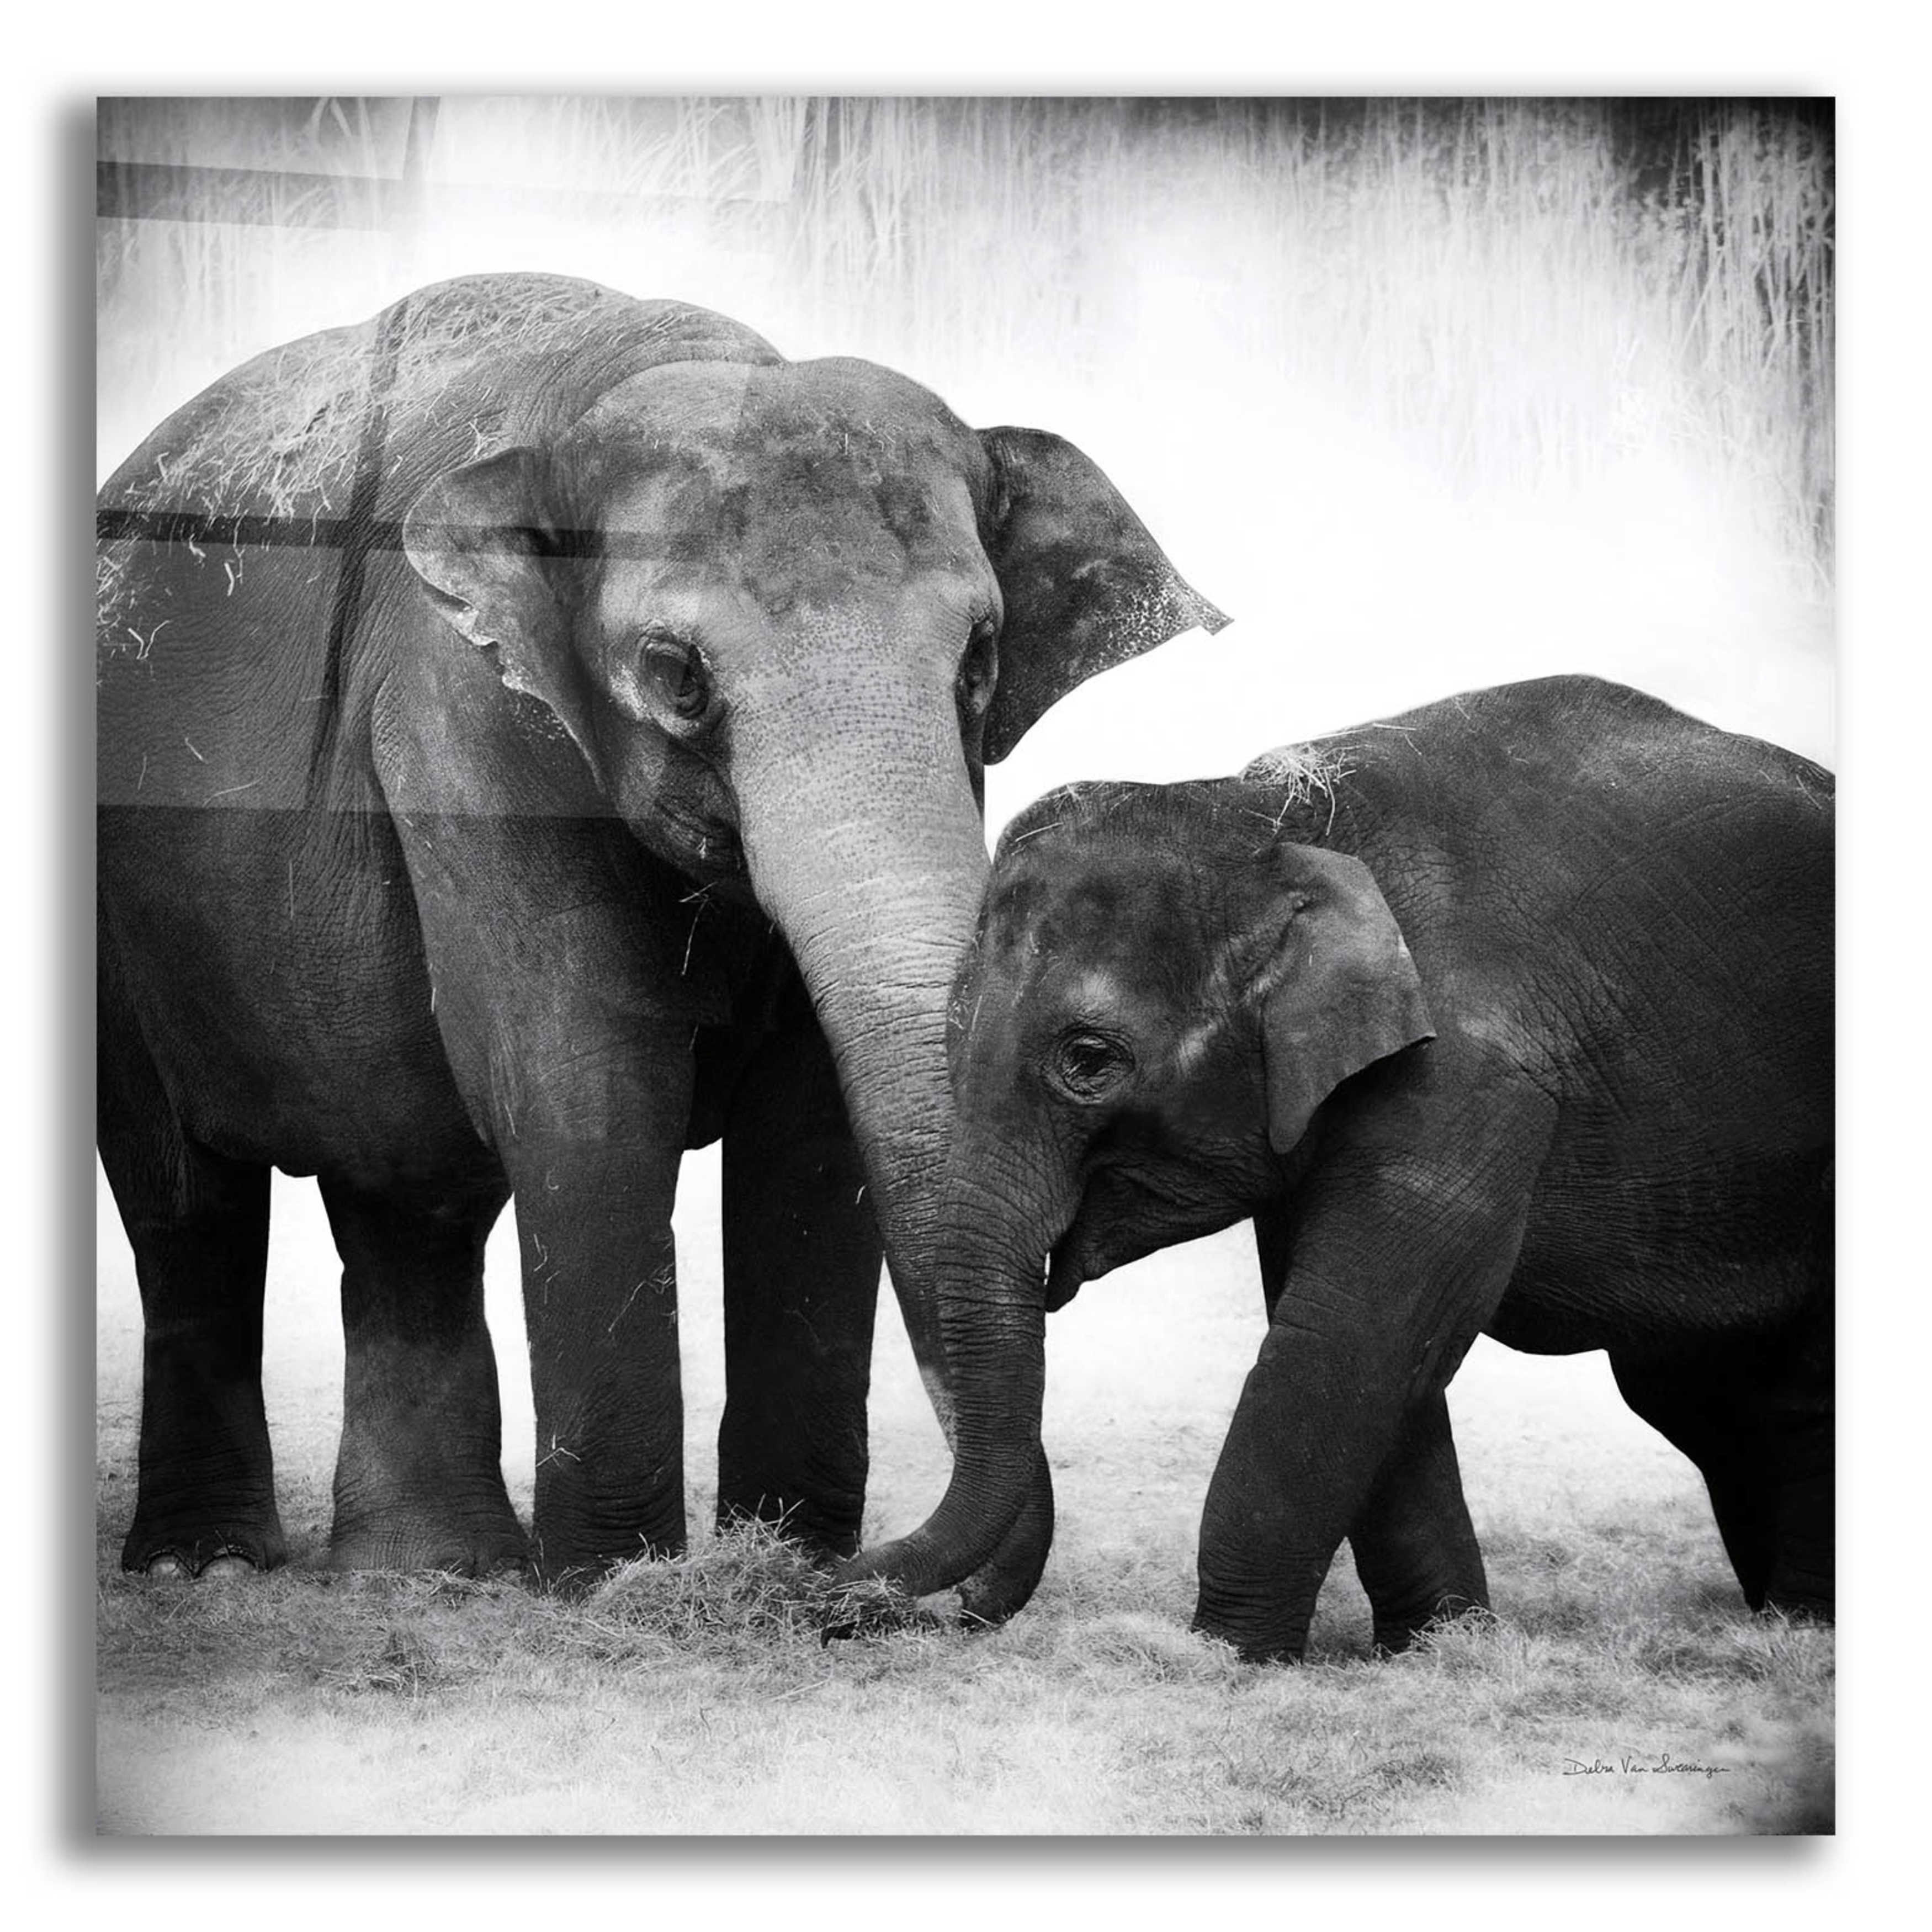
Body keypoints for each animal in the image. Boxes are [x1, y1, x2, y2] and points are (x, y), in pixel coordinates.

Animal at [96, 271, 1224, 1595]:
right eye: (677, 673)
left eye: (981, 657)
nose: (863, 1584)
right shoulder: (464, 715)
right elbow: (587, 1088)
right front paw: (620, 1583)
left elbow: (812, 1125)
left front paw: (781, 1556)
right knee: (186, 1203)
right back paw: (209, 1566)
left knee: (405, 1197)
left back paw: (433, 1572)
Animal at [844, 676, 1833, 1662]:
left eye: (1089, 1061)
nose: (840, 1593)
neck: (1271, 818)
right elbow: (1366, 1347)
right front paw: (1435, 1650)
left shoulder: (1468, 1075)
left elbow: (1346, 1333)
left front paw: (1226, 1656)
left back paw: (1799, 1627)